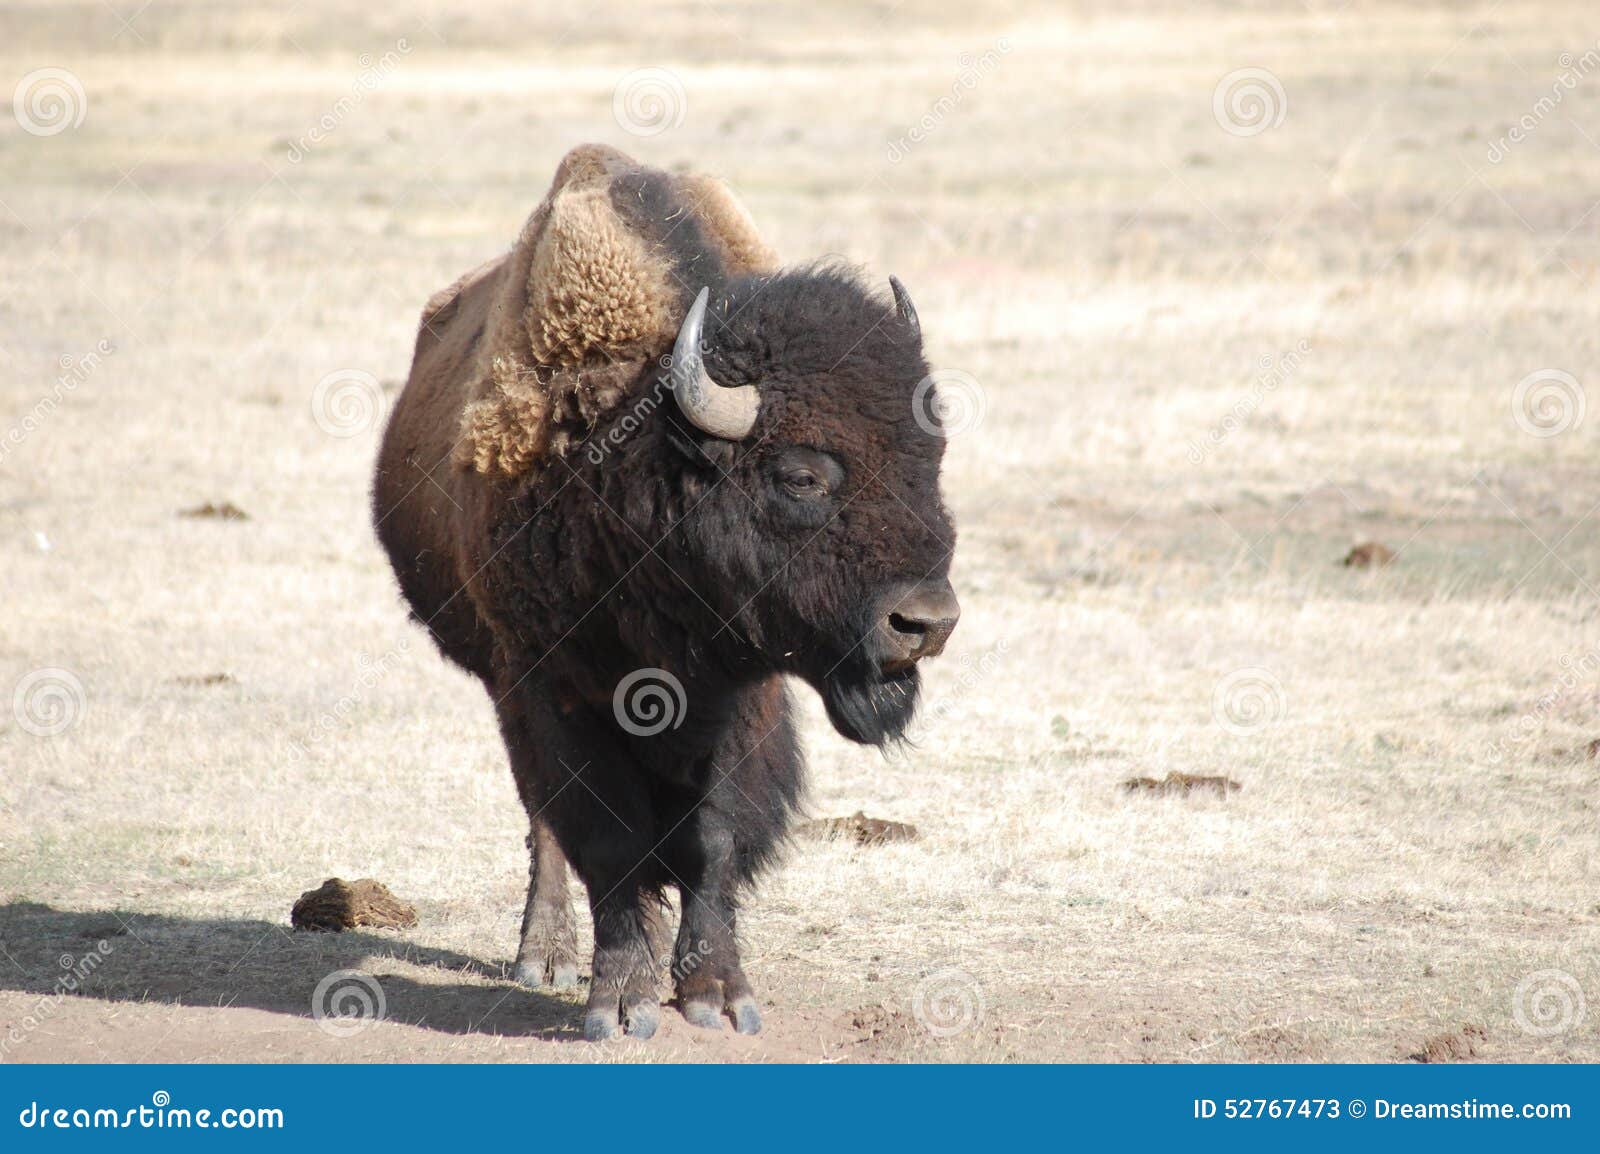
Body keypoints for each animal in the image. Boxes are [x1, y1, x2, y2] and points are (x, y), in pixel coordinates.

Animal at [373, 144, 959, 1040]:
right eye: (801, 475)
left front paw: (719, 996)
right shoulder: (552, 685)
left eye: (931, 461)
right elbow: (609, 839)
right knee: (544, 822)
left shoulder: (742, 698)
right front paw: (621, 1004)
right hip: (506, 684)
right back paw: (545, 957)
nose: (925, 622)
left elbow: (711, 841)